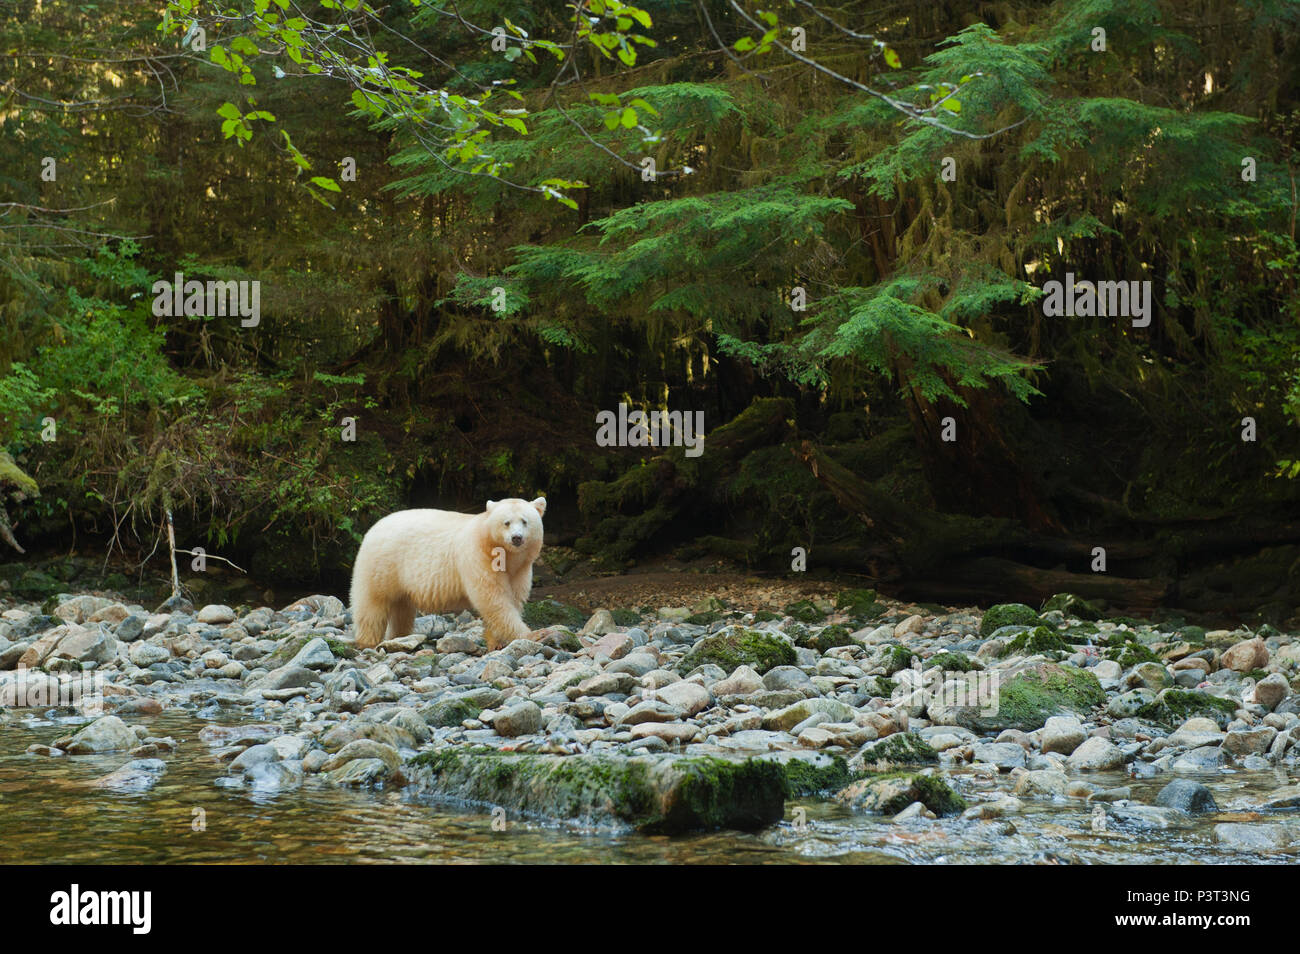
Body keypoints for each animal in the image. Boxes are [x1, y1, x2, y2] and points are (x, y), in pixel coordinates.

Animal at [349, 497, 546, 651]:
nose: (516, 538)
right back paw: (367, 641)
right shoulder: (479, 557)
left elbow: (514, 598)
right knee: (372, 603)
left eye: (525, 521)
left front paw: (496, 642)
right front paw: (534, 634)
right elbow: (493, 599)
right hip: (383, 563)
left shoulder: (520, 569)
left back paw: (399, 636)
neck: (507, 555)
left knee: (401, 607)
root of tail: (374, 527)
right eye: (506, 522)